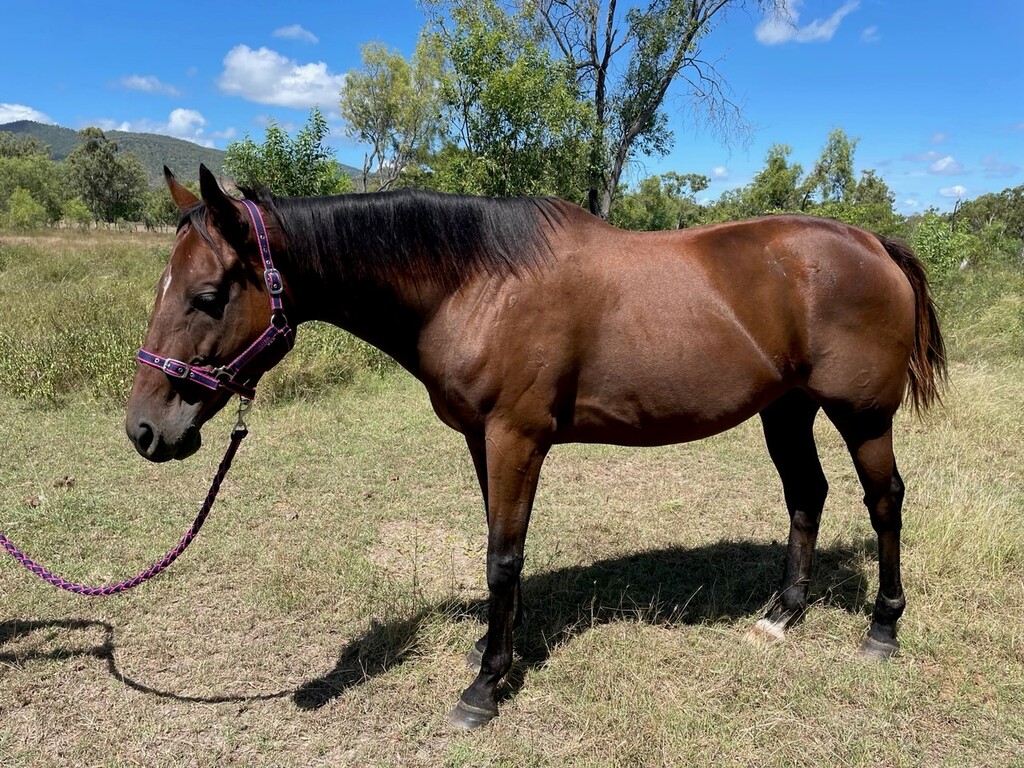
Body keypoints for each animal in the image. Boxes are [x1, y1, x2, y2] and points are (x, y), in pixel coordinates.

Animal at [126, 165, 946, 729]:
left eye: (207, 296)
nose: (145, 430)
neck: (475, 284)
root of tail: (871, 243)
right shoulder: (482, 442)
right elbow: (500, 546)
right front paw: (497, 653)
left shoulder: (516, 437)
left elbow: (502, 555)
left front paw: (484, 689)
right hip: (788, 410)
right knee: (807, 494)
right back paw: (784, 613)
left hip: (862, 416)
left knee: (884, 501)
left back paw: (882, 628)